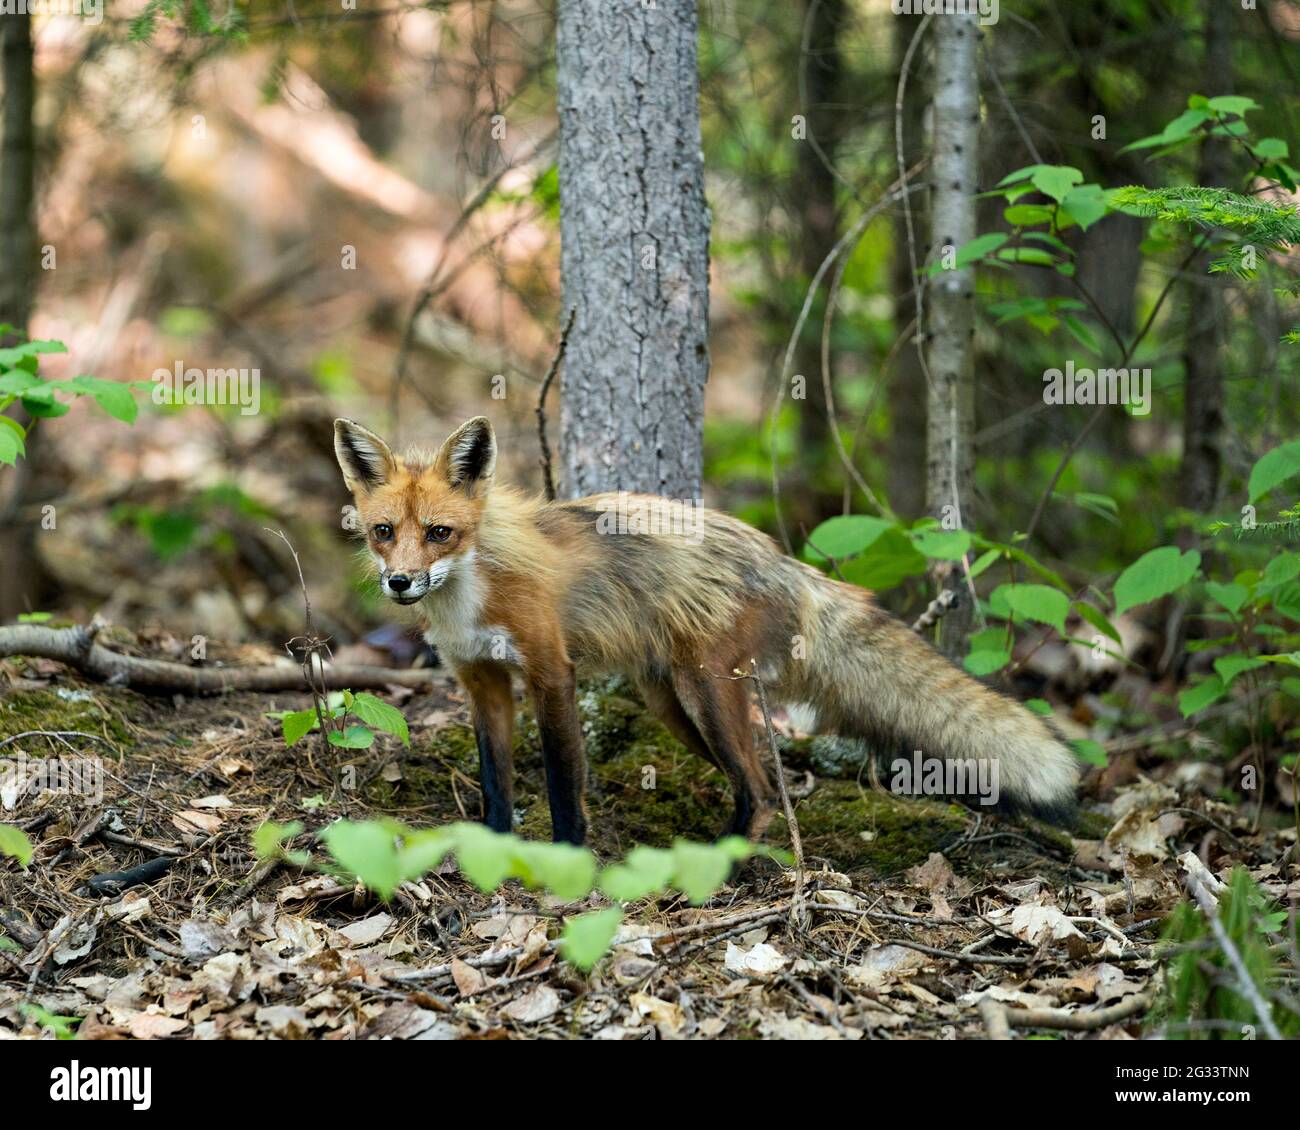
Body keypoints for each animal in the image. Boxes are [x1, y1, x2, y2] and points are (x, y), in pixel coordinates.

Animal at [334, 415, 1079, 847]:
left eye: (440, 532)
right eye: (384, 532)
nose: (401, 583)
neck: (471, 590)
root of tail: (782, 560)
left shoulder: (550, 672)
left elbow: (563, 780)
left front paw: (568, 859)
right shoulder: (481, 680)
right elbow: (495, 779)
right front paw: (492, 845)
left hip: (710, 692)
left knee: (763, 786)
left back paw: (731, 865)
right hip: (674, 703)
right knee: (763, 783)